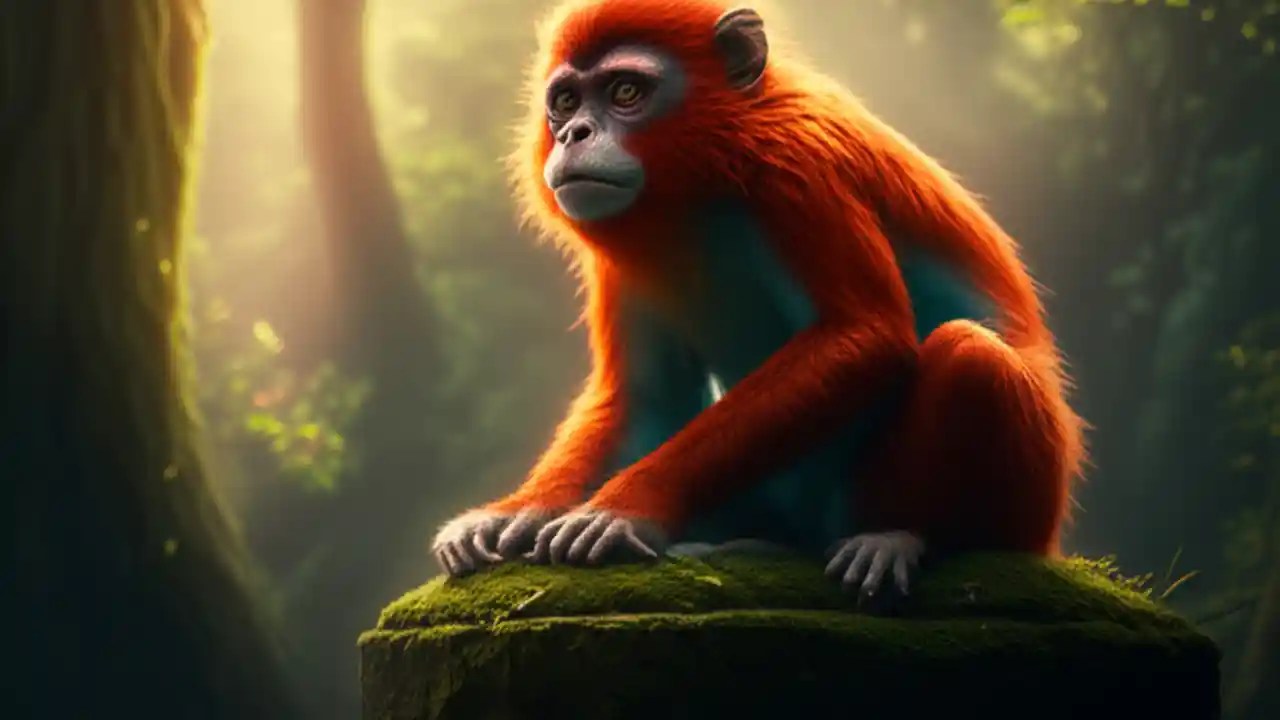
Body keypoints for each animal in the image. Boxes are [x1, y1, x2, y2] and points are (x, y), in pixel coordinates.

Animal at [431, 0, 1084, 602]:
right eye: (565, 102)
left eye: (625, 92)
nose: (571, 135)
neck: (704, 183)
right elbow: (646, 396)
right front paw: (517, 512)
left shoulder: (800, 168)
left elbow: (865, 334)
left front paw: (627, 507)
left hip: (1030, 501)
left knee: (972, 351)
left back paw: (898, 534)